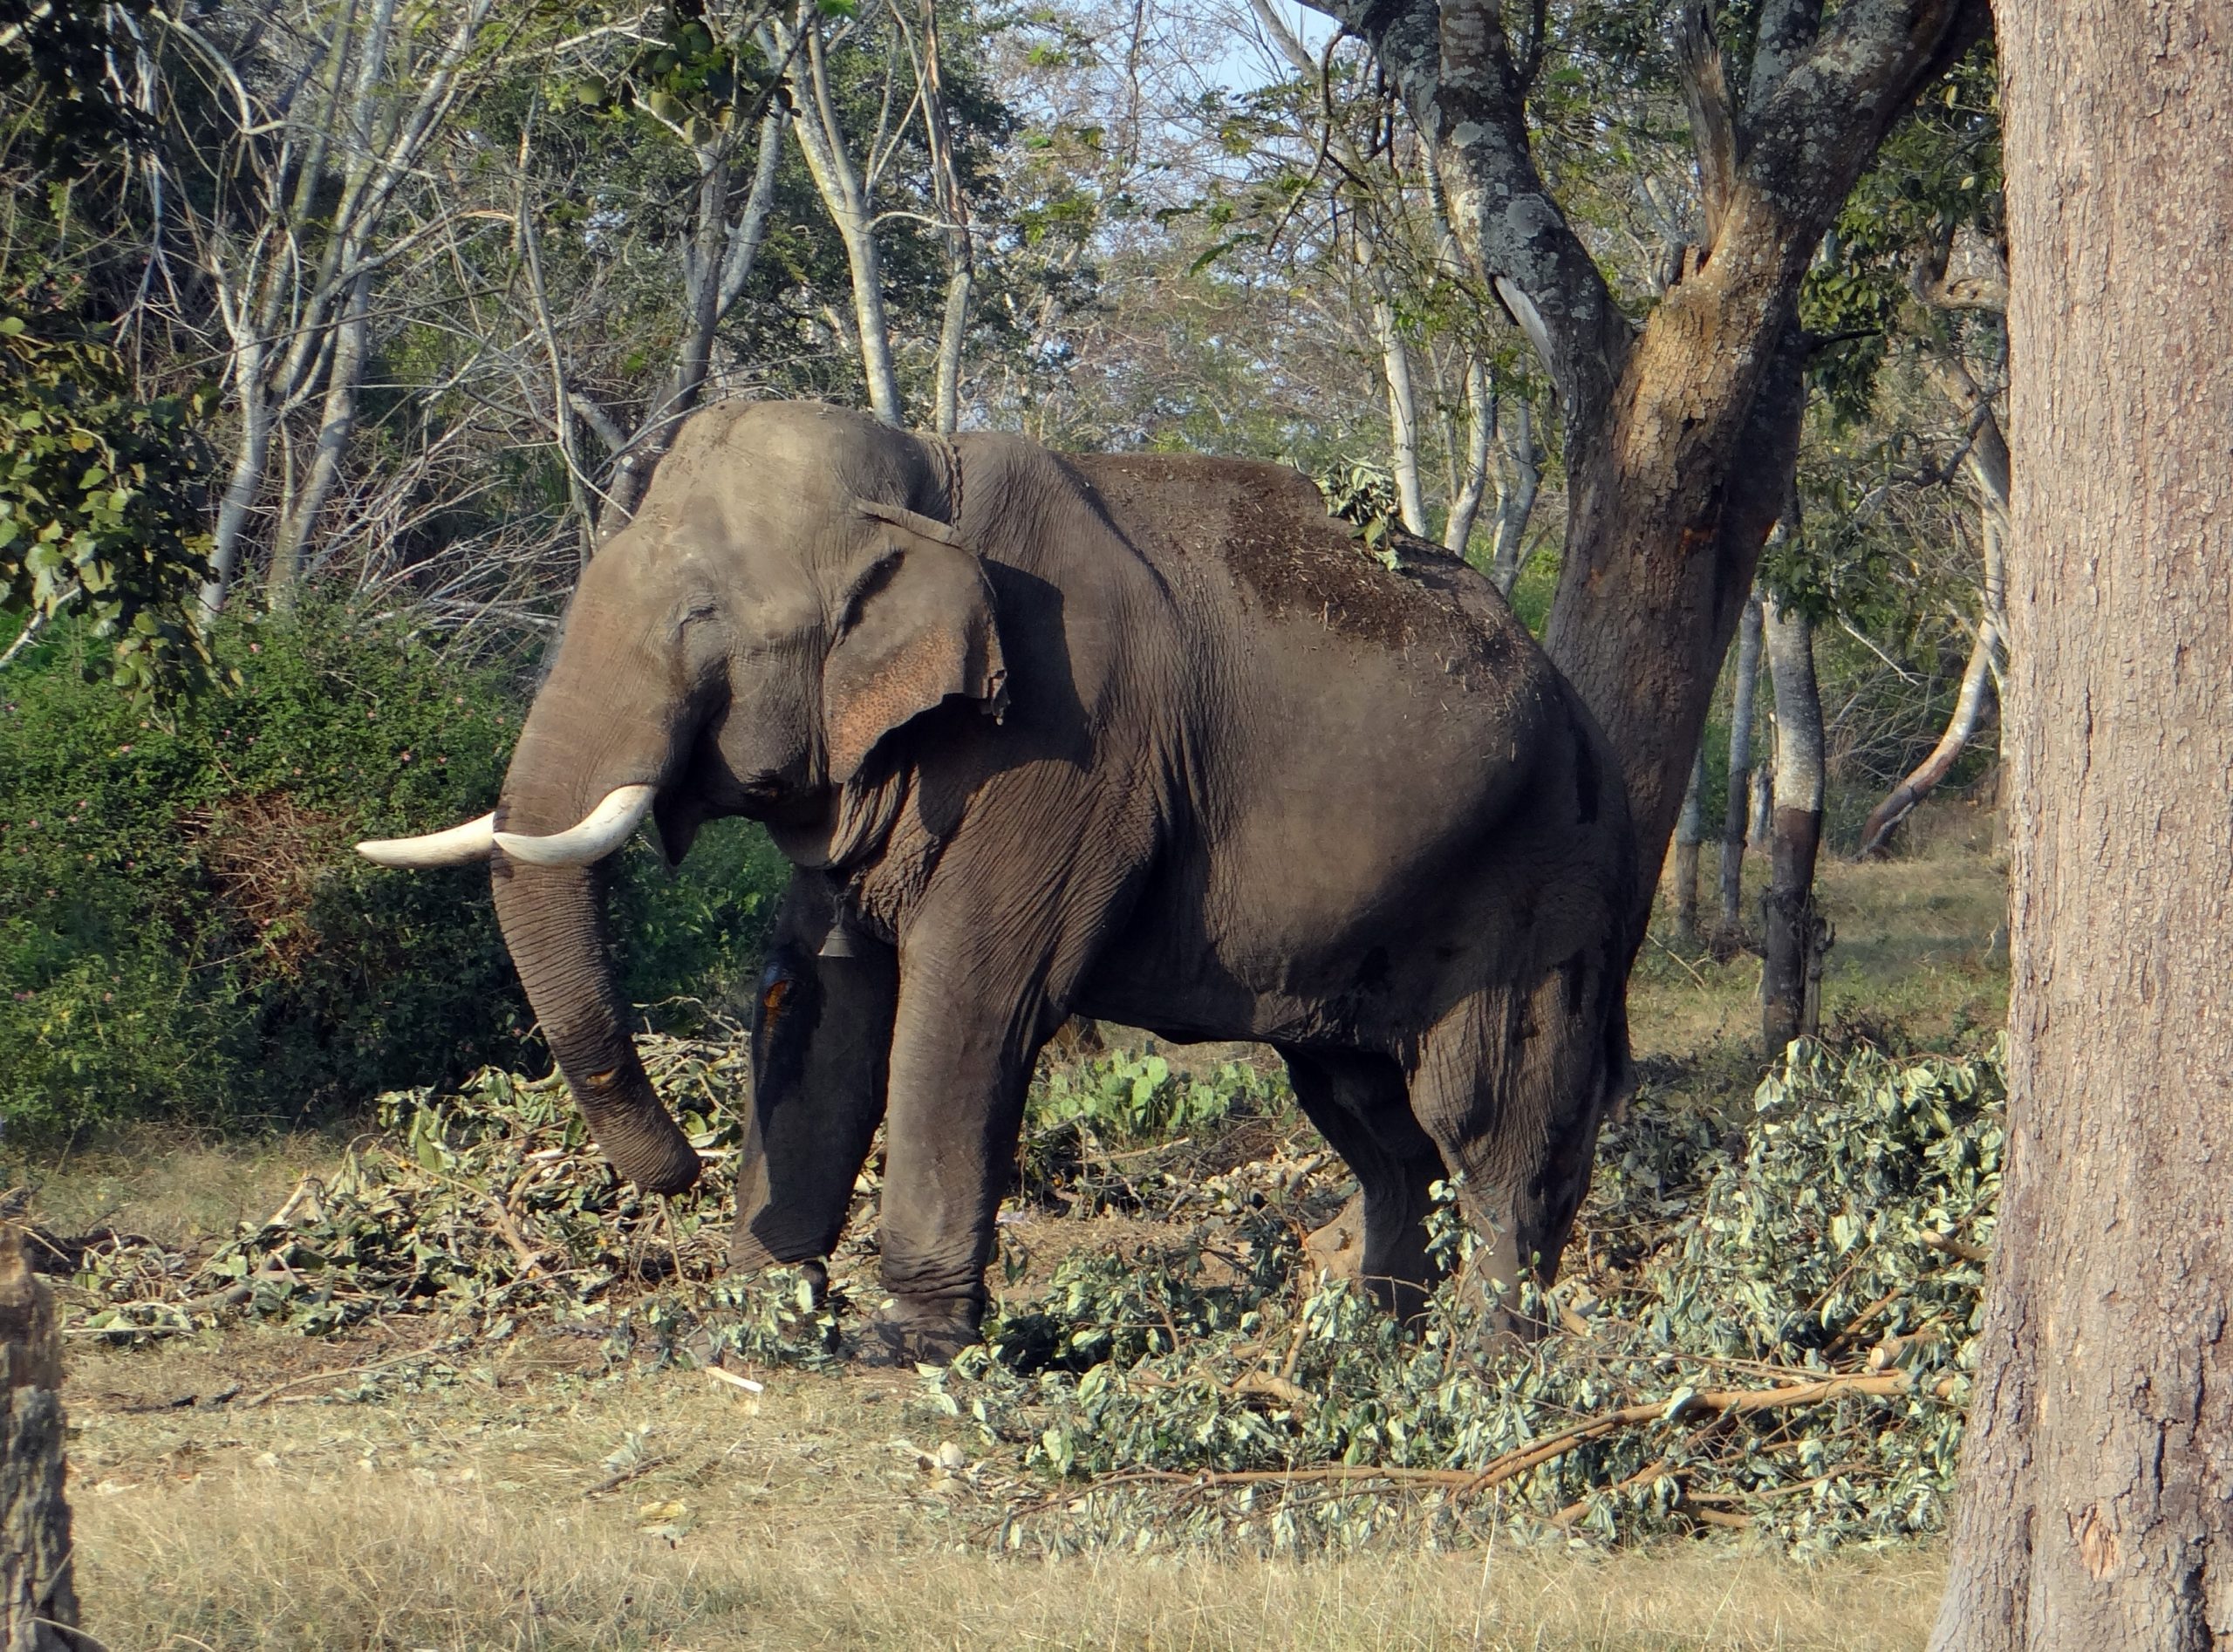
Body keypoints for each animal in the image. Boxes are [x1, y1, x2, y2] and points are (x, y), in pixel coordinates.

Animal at [359, 398, 1639, 1362]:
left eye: (703, 622)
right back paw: (1366, 1350)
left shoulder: (1067, 747)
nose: (679, 1172)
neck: (930, 475)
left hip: (1543, 879)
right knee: (1374, 1123)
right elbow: (826, 996)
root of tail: (1580, 710)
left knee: (1488, 1119)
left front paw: (902, 1348)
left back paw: (1483, 1365)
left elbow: (970, 996)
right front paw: (752, 1325)